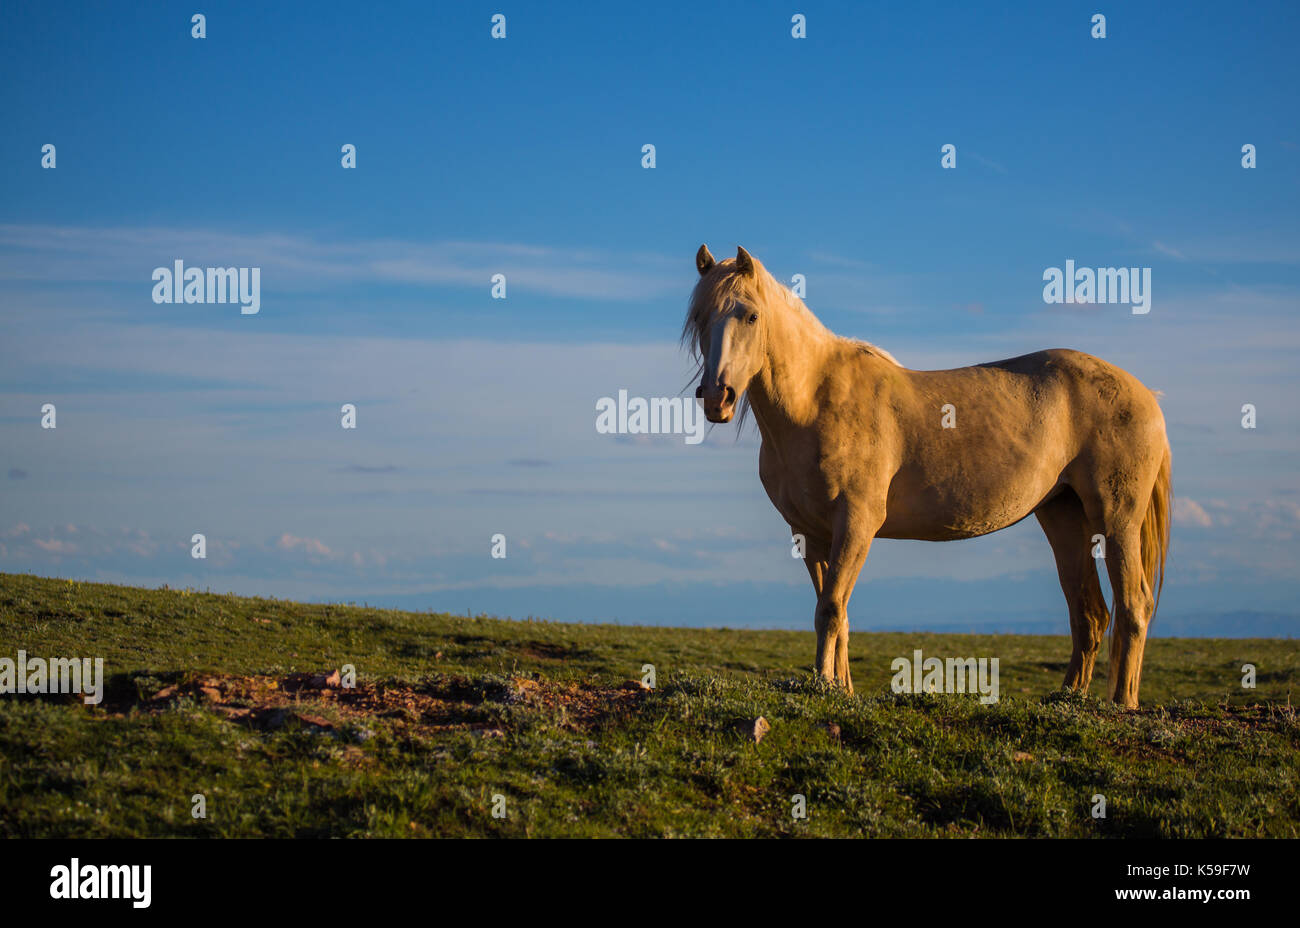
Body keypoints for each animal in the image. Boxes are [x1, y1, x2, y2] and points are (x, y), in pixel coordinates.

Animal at [683, 245, 1171, 708]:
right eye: (701, 318)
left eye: (751, 315)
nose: (717, 397)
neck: (816, 401)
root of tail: (1145, 394)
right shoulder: (810, 534)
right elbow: (835, 611)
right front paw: (841, 689)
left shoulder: (856, 524)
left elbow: (831, 609)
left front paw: (824, 686)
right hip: (1063, 515)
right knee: (1089, 612)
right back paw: (1068, 699)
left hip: (1117, 520)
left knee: (1133, 605)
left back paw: (1122, 703)